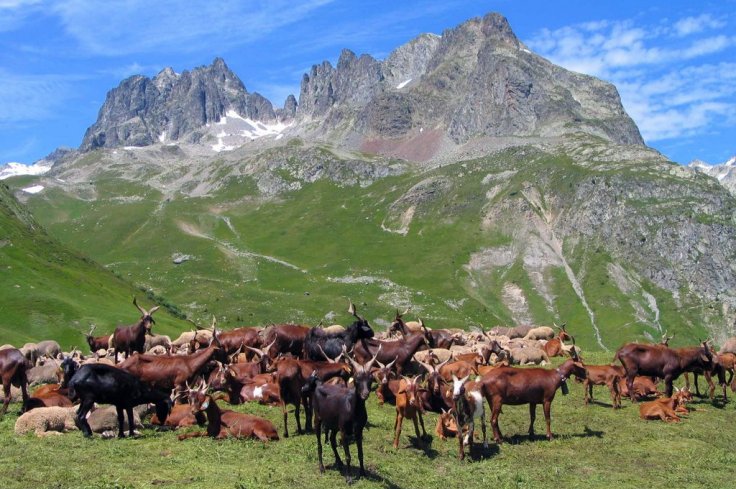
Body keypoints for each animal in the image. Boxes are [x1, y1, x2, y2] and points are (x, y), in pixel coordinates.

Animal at [300, 346, 380, 482]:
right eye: (357, 379)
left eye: (370, 380)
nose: (365, 394)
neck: (352, 408)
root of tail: (319, 385)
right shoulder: (343, 430)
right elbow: (348, 455)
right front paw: (349, 478)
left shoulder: (359, 430)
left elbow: (361, 453)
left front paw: (363, 473)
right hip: (319, 419)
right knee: (319, 443)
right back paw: (322, 467)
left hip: (334, 424)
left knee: (332, 440)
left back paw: (339, 462)